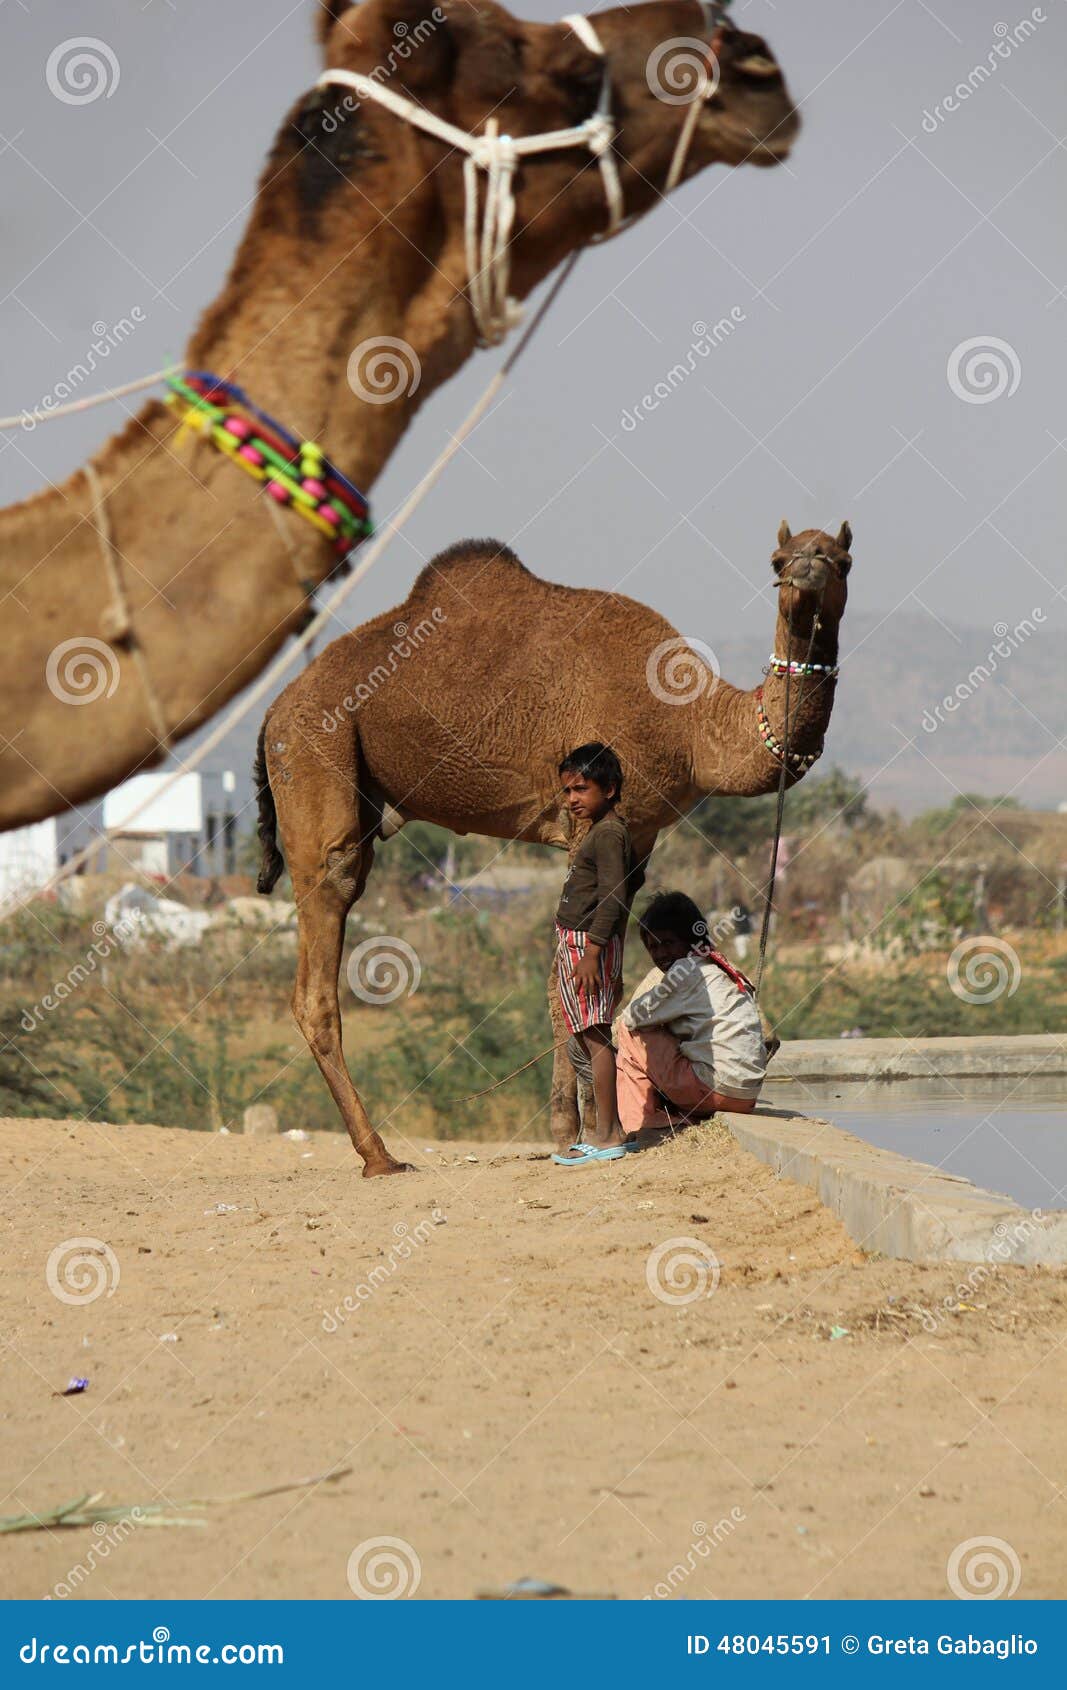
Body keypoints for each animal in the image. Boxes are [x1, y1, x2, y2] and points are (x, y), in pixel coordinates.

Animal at [254, 518, 852, 1173]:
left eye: (842, 558)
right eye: (777, 559)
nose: (806, 569)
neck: (691, 726)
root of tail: (273, 710)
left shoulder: (639, 836)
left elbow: (602, 973)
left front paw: (580, 1122)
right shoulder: (588, 824)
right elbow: (572, 976)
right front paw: (575, 1126)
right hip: (318, 747)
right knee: (324, 931)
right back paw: (379, 1155)